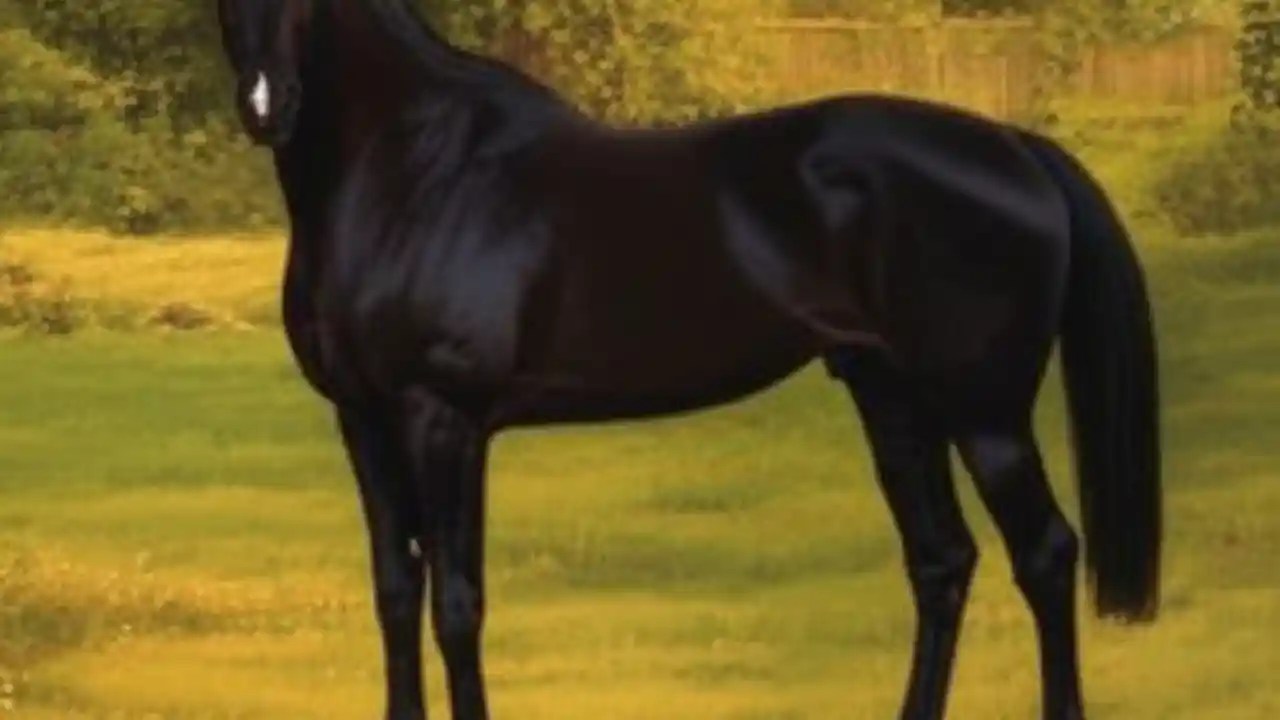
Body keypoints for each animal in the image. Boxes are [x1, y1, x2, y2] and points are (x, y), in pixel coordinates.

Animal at [214, 2, 1161, 719]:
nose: (266, 105)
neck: (414, 170)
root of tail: (1016, 147)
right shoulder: (364, 420)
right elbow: (395, 594)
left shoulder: (443, 418)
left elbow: (455, 603)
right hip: (892, 399)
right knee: (942, 561)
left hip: (985, 413)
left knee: (1045, 555)